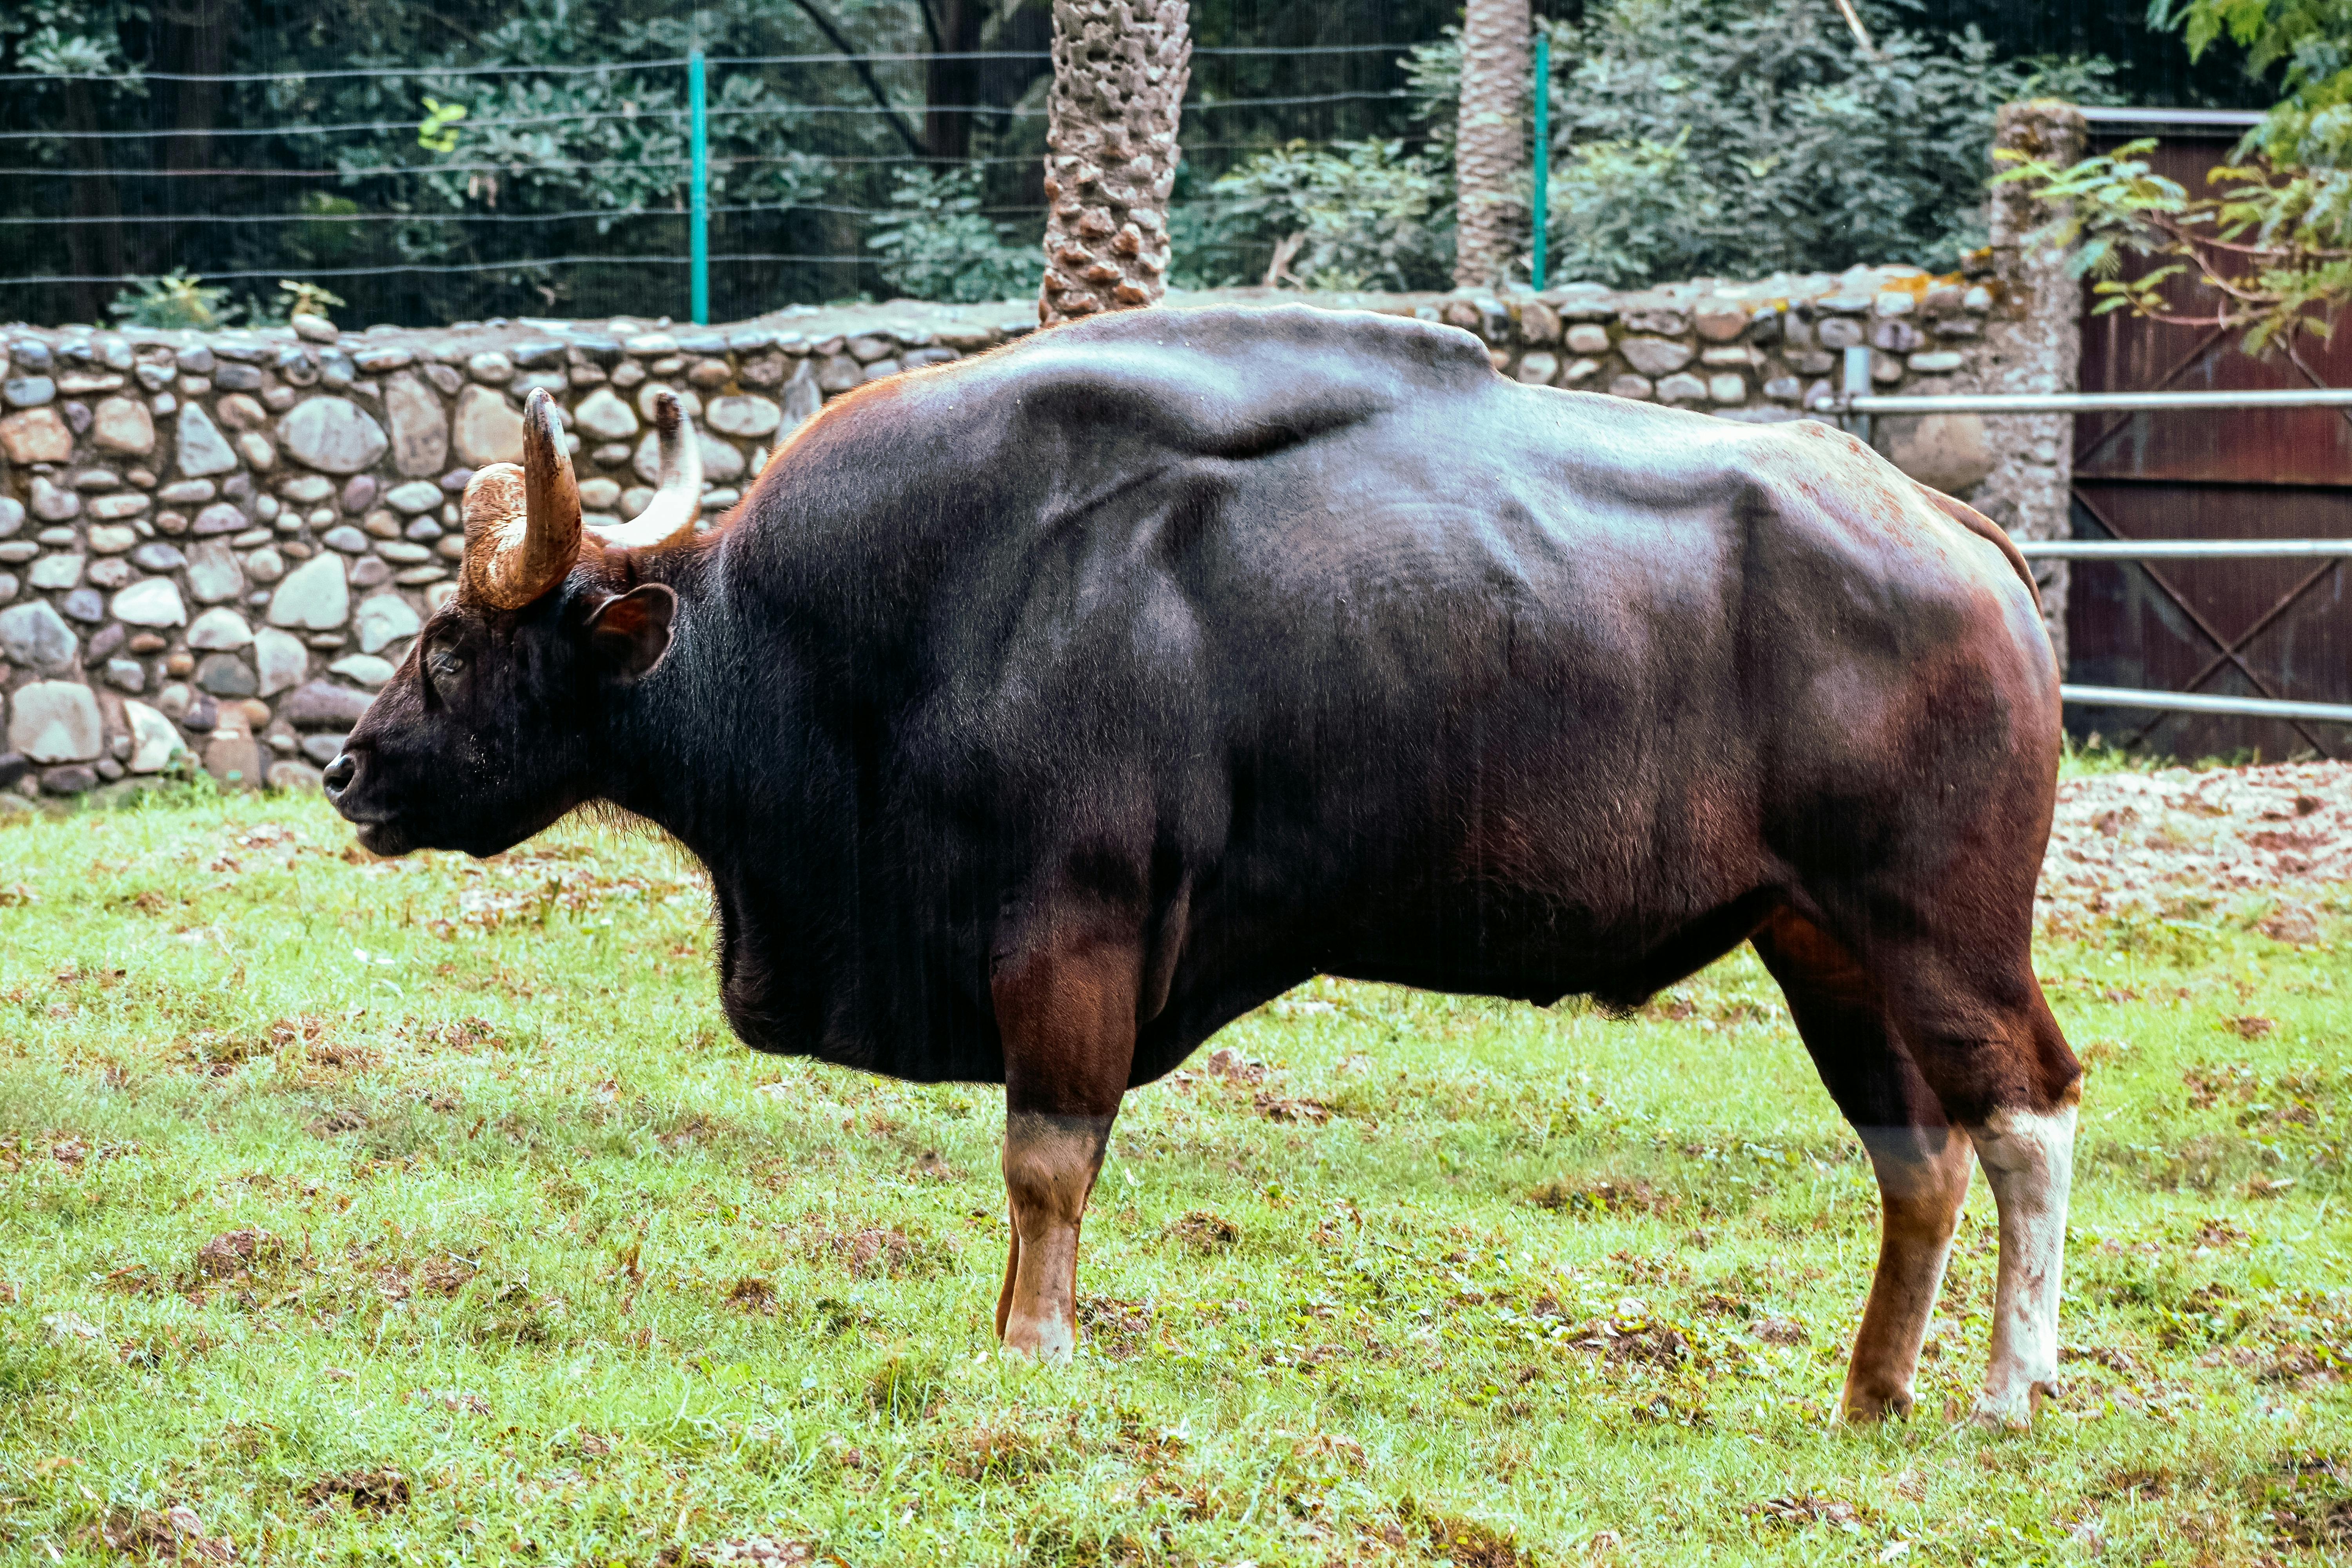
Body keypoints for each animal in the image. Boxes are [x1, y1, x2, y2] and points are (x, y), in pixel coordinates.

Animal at [324, 304, 2080, 1427]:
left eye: (451, 644)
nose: (349, 769)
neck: (869, 631)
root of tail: (1964, 540)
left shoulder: (1073, 930)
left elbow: (1047, 1158)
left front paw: (1035, 1351)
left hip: (1941, 924)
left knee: (2028, 1105)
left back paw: (2009, 1389)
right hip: (1822, 937)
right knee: (1916, 1150)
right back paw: (1872, 1391)